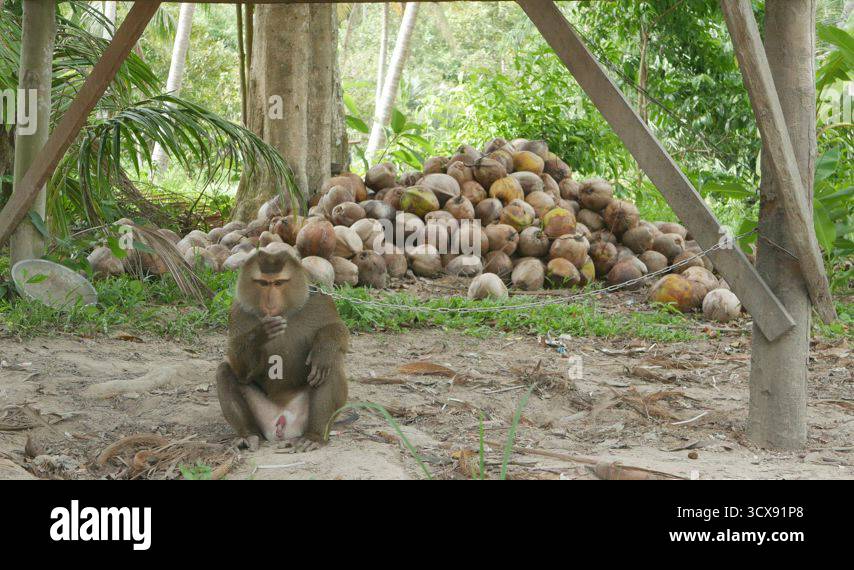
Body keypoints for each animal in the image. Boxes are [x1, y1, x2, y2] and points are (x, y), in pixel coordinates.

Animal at [216, 248, 349, 452]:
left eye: (278, 283)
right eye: (263, 283)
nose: (270, 304)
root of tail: (282, 421)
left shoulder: (320, 300)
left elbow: (338, 329)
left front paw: (324, 347)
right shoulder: (238, 312)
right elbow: (241, 372)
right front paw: (261, 333)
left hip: (302, 416)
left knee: (331, 363)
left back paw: (314, 435)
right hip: (263, 417)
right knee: (224, 370)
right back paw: (248, 435)